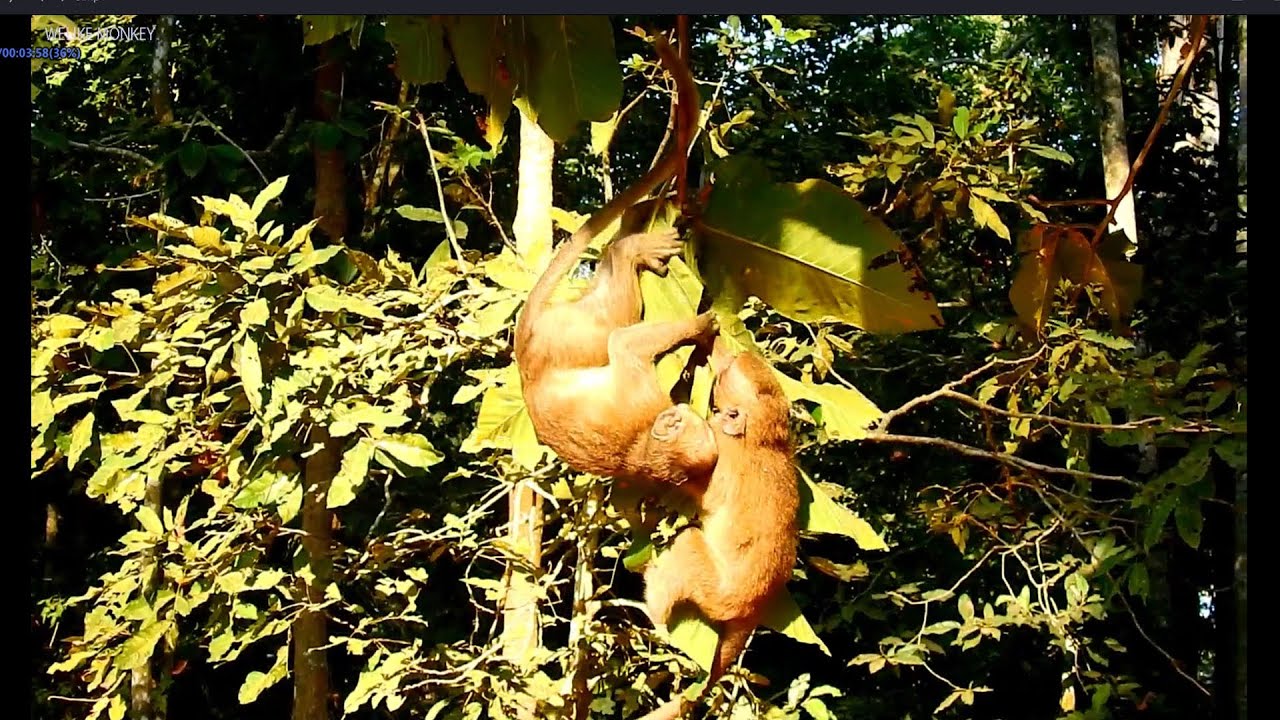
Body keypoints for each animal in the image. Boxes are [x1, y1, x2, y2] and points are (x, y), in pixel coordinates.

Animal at [513, 32, 719, 486]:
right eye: (687, 422)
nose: (684, 412)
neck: (641, 452)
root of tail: (526, 350)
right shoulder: (642, 398)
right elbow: (623, 345)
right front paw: (701, 328)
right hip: (572, 333)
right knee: (616, 315)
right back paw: (630, 247)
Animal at [635, 338, 800, 720]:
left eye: (719, 404)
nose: (719, 366)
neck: (760, 440)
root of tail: (756, 606)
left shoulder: (722, 455)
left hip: (716, 591)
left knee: (686, 543)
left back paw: (656, 616)